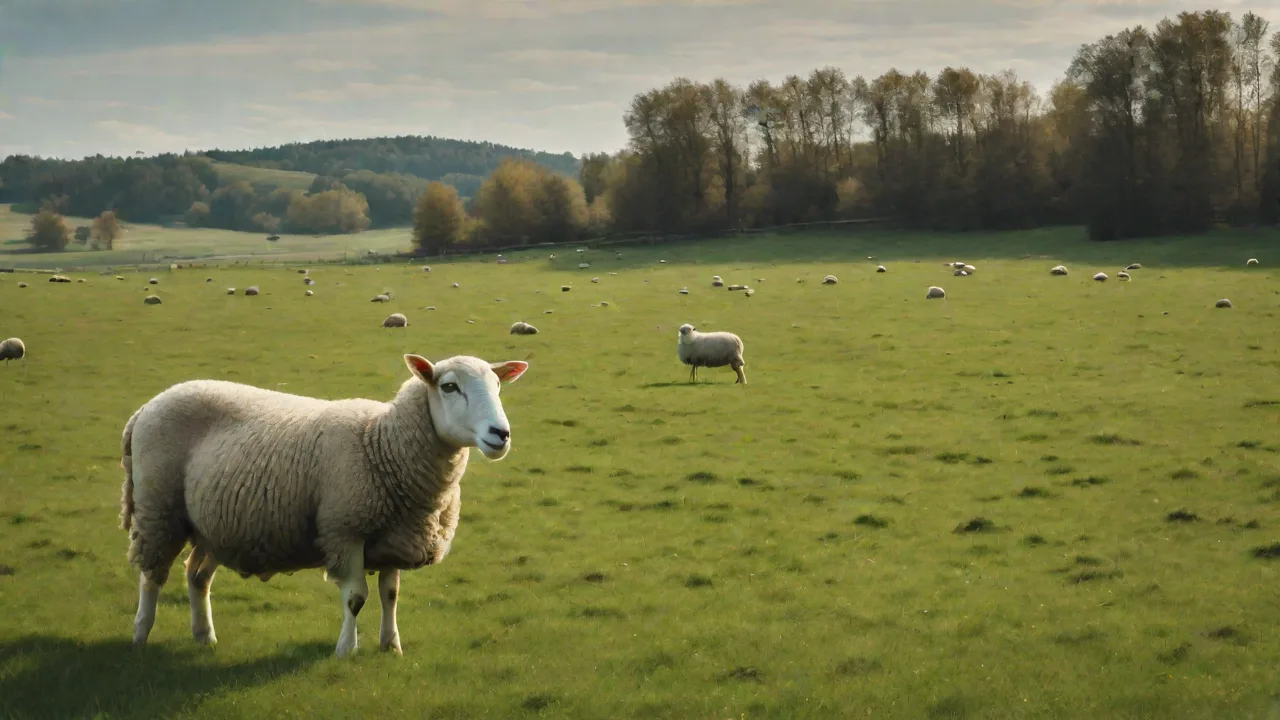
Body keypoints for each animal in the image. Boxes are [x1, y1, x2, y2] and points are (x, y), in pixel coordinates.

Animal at [119, 353, 530, 657]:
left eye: (497, 386)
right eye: (449, 386)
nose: (501, 434)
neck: (381, 443)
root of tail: (148, 406)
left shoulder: (394, 538)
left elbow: (390, 595)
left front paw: (391, 645)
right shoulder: (344, 530)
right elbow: (356, 598)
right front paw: (346, 649)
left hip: (212, 524)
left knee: (197, 575)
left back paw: (204, 635)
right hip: (159, 508)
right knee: (153, 575)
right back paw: (140, 634)